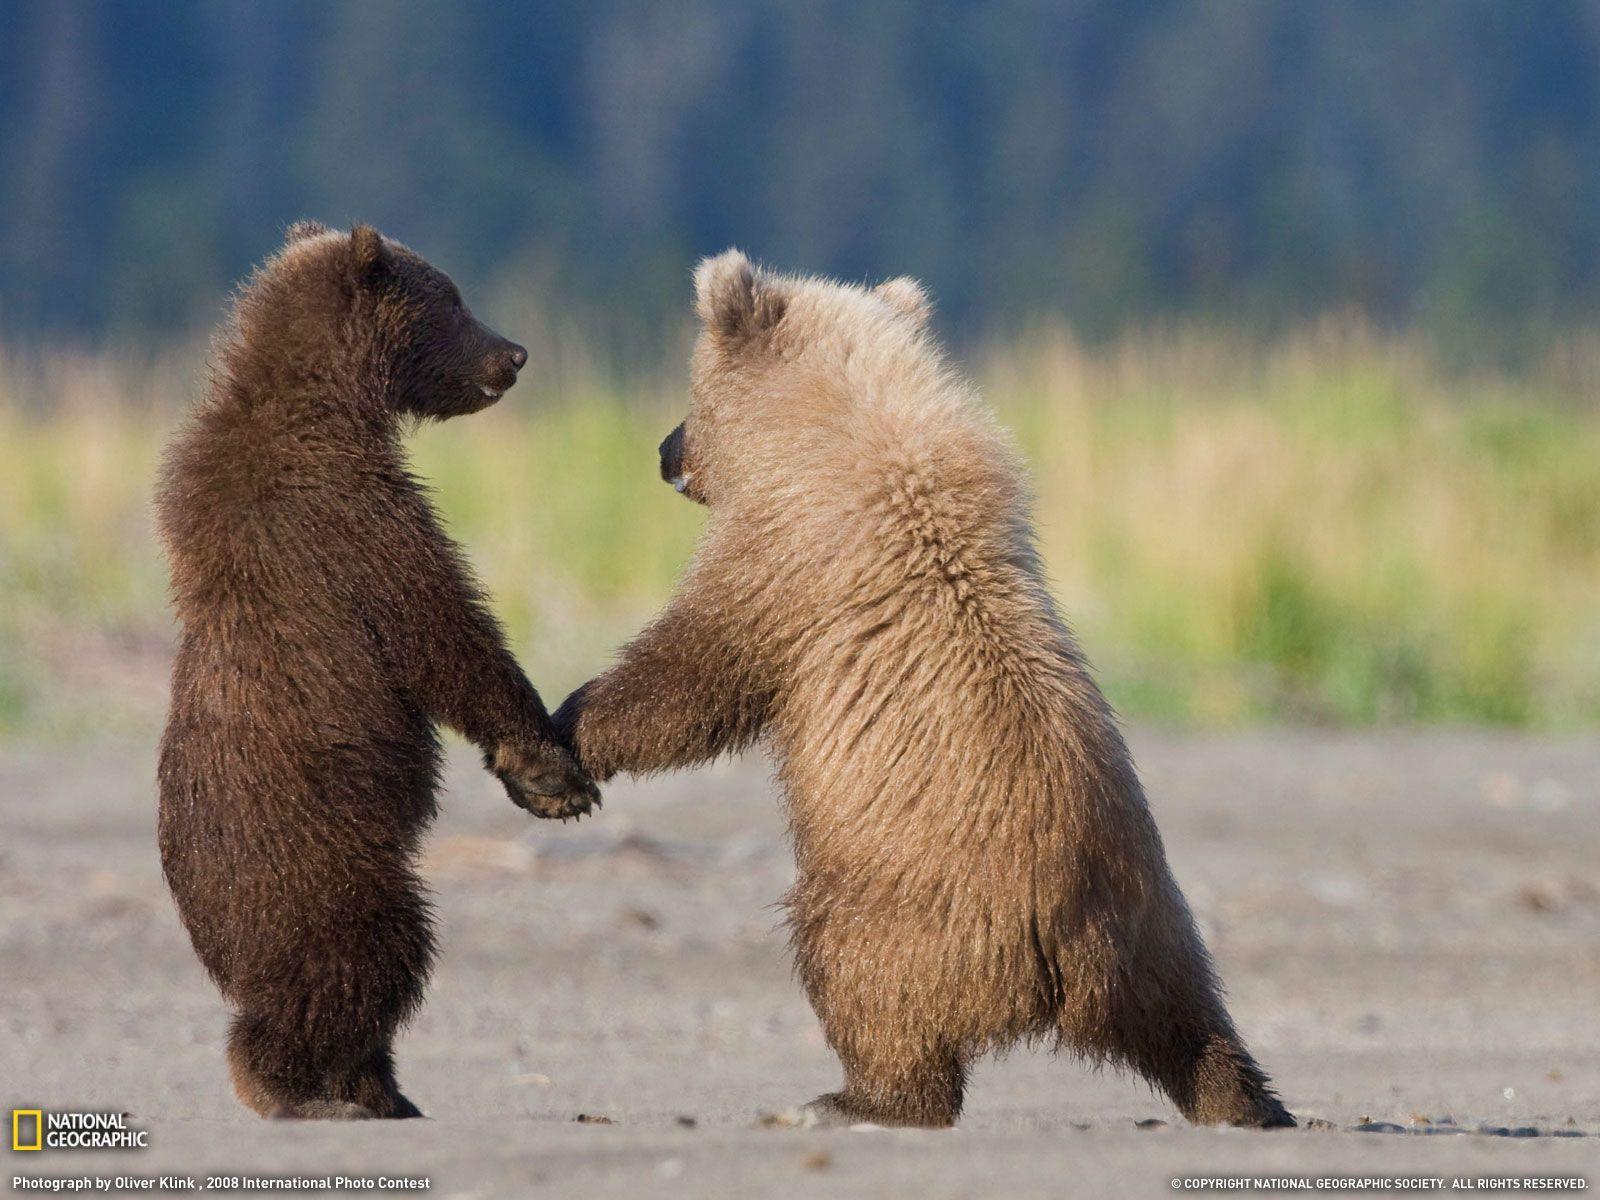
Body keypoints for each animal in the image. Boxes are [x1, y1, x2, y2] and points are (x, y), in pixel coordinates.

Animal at [156, 222, 599, 1120]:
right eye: (454, 299)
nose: (515, 353)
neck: (331, 401)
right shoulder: (346, 513)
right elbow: (438, 627)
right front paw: (546, 769)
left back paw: (379, 1086)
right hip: (323, 864)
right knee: (368, 955)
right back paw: (310, 1086)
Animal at [553, 250, 1294, 1130]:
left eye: (691, 392)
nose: (664, 450)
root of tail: (1069, 948)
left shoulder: (791, 562)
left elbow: (696, 674)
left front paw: (569, 727)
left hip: (910, 904)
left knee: (859, 978)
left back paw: (855, 1096)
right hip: (1158, 926)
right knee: (1190, 1022)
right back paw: (1249, 1101)